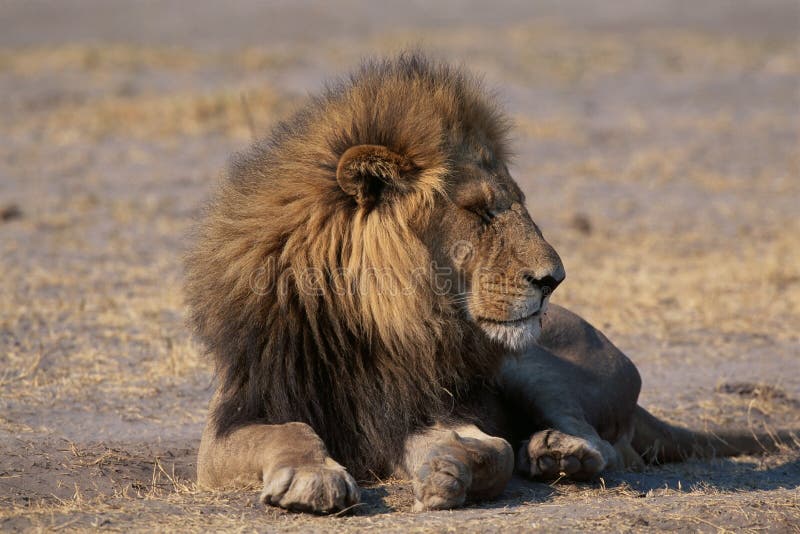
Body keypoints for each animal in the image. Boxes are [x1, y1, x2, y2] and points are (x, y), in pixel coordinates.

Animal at [184, 53, 795, 513]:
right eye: (479, 211)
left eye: (517, 202)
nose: (554, 279)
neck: (380, 328)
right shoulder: (232, 424)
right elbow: (289, 431)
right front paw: (312, 479)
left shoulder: (437, 408)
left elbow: (494, 447)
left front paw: (449, 466)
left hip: (532, 360)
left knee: (602, 443)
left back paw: (558, 454)